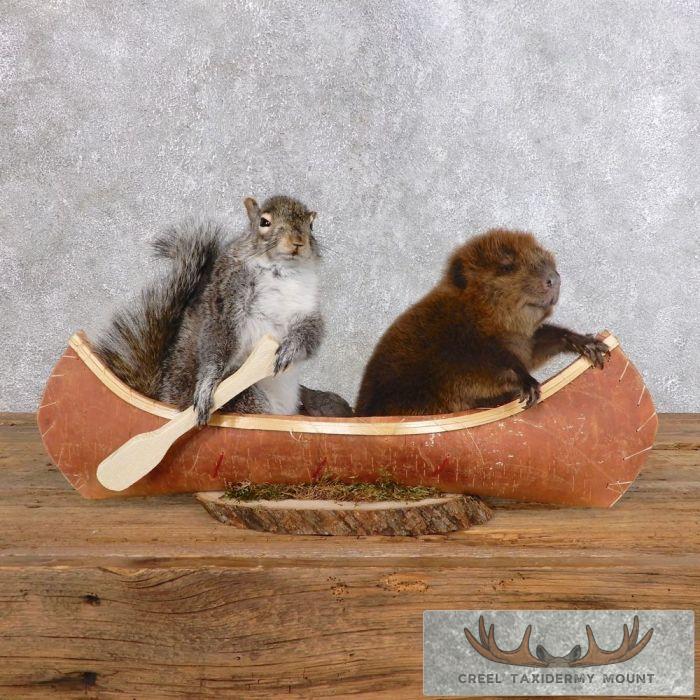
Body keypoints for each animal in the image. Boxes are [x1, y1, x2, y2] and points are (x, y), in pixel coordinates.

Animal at [96, 195, 325, 425]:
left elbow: (312, 332)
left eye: (311, 226)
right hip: (245, 396)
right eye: (264, 222)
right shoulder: (227, 297)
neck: (282, 272)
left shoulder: (307, 306)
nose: (298, 242)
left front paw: (291, 348)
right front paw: (208, 384)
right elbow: (219, 338)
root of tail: (165, 398)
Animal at [354, 228, 610, 417]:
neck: (472, 316)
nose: (553, 278)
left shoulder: (521, 339)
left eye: (546, 258)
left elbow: (536, 347)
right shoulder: (459, 352)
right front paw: (528, 385)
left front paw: (590, 344)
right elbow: (493, 368)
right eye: (507, 266)